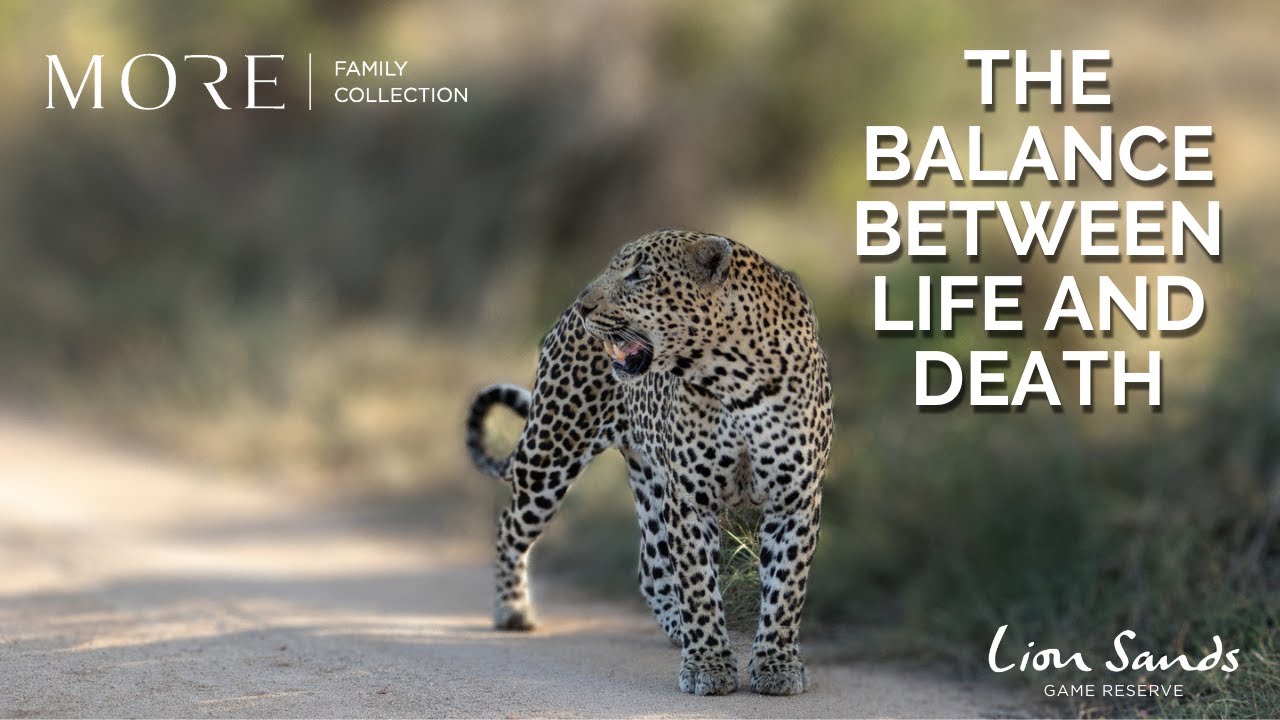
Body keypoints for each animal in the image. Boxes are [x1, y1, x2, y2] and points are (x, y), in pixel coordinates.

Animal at [465, 229, 832, 696]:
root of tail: (561, 317)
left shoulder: (794, 498)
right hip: (552, 451)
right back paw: (512, 611)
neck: (734, 379)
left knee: (651, 566)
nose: (586, 306)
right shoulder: (691, 498)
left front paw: (776, 665)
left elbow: (785, 588)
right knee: (509, 528)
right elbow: (698, 584)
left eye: (639, 275)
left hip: (651, 480)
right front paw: (708, 665)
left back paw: (678, 629)